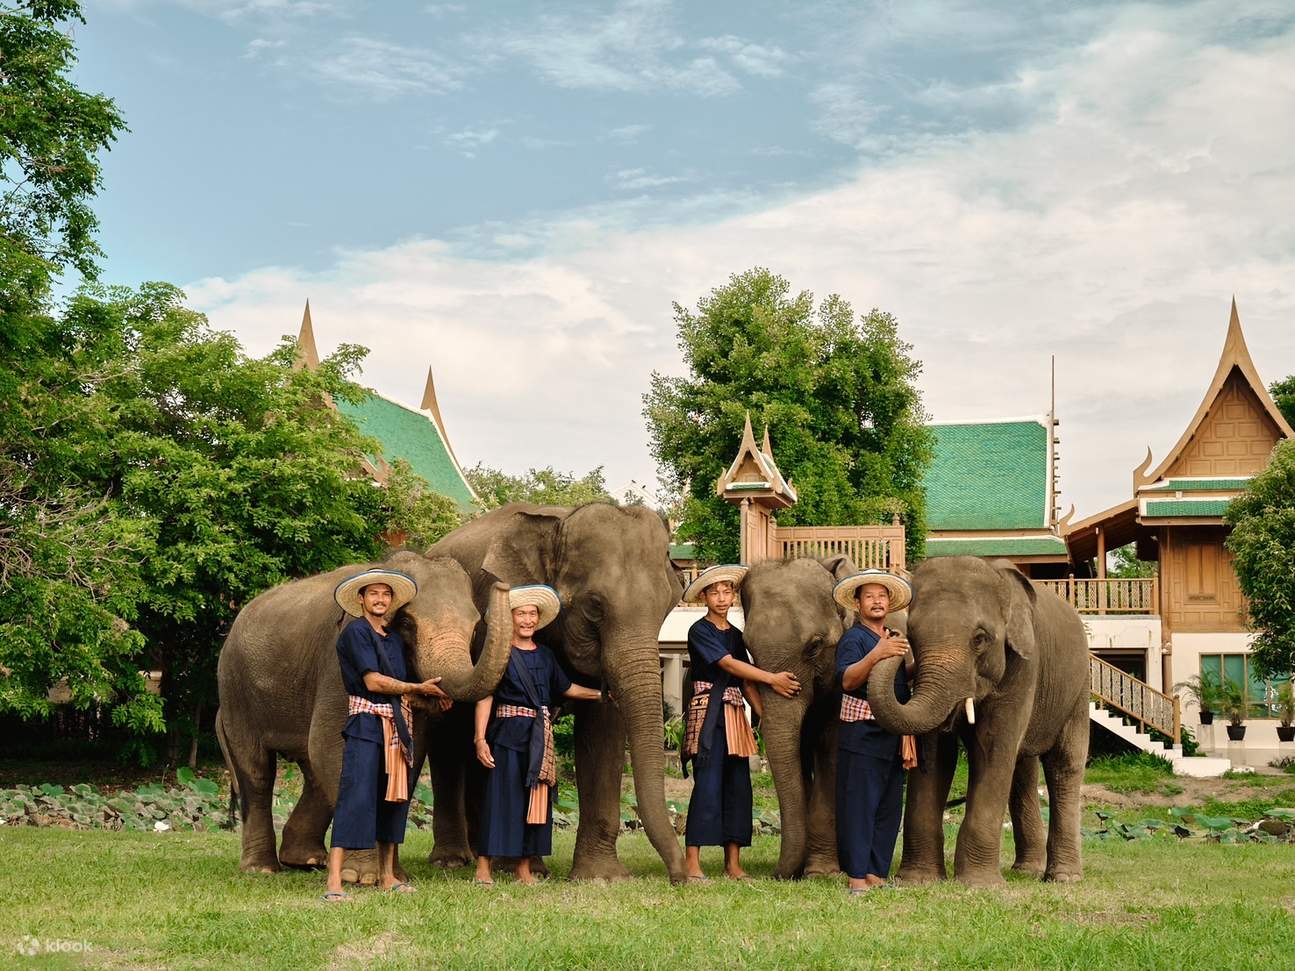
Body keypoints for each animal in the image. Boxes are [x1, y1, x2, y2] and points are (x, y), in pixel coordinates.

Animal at [215, 550, 513, 880]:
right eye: (406, 622)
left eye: (474, 628)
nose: (503, 587)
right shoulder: (338, 661)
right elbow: (332, 747)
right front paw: (363, 877)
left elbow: (410, 755)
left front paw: (395, 876)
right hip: (236, 691)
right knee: (257, 771)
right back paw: (262, 869)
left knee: (312, 772)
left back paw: (307, 861)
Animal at [422, 502, 687, 882]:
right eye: (595, 605)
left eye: (667, 605)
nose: (685, 876)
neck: (560, 523)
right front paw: (516, 867)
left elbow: (604, 733)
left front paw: (602, 878)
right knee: (448, 737)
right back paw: (454, 860)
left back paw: (479, 855)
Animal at [740, 555, 908, 880]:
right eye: (748, 649)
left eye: (814, 646)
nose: (775, 875)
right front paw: (806, 869)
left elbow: (831, 751)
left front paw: (821, 873)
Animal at [866, 556, 1090, 887]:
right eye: (914, 636)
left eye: (980, 639)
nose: (894, 636)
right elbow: (937, 753)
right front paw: (918, 880)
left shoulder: (1025, 665)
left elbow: (993, 748)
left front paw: (978, 884)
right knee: (1023, 772)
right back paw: (1026, 871)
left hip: (1078, 689)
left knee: (1065, 765)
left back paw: (1063, 878)